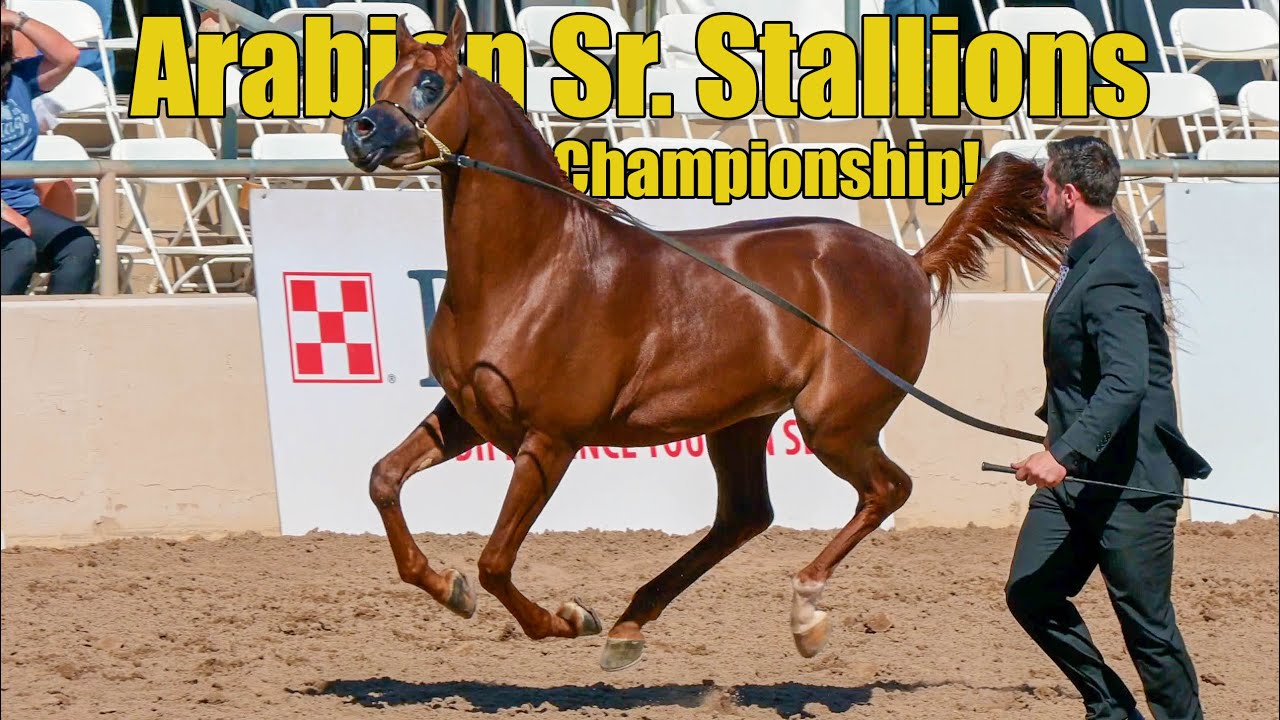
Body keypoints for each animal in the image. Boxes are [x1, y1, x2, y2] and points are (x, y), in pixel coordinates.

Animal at [340, 12, 1067, 672]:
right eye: (380, 79)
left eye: (430, 83)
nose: (359, 131)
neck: (533, 270)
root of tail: (911, 263)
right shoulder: (467, 417)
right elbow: (383, 480)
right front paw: (450, 589)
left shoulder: (549, 441)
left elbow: (495, 561)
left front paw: (566, 619)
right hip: (741, 423)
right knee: (745, 515)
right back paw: (630, 626)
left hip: (833, 422)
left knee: (886, 491)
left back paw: (803, 613)